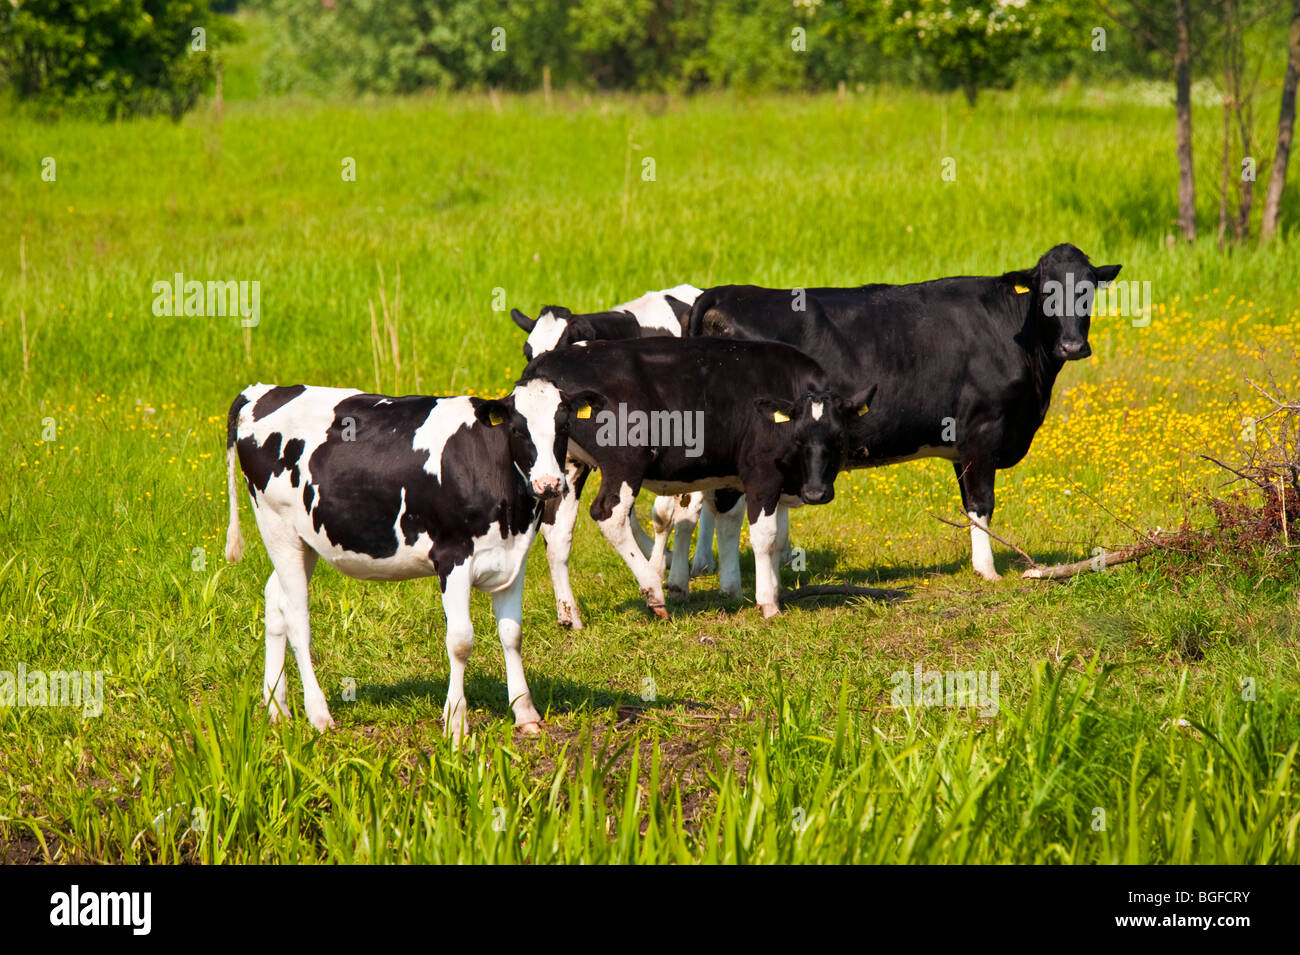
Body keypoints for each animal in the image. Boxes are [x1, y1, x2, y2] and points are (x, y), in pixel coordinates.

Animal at [223, 379, 603, 743]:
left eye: (563, 425)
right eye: (518, 430)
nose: (549, 484)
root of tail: (262, 391)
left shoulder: (513, 558)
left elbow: (512, 634)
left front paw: (525, 714)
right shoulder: (452, 557)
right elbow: (461, 641)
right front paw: (456, 723)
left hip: (305, 541)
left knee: (275, 599)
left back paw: (277, 707)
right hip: (277, 527)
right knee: (297, 618)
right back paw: (318, 714)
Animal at [517, 337, 874, 619]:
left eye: (838, 438)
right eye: (799, 438)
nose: (816, 493)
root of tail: (550, 360)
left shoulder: (741, 479)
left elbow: (746, 528)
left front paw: (753, 589)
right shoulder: (762, 474)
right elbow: (765, 536)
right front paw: (768, 602)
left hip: (566, 465)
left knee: (557, 530)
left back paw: (569, 616)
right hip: (624, 461)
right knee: (609, 515)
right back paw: (653, 591)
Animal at [685, 243, 1121, 581]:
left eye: (1088, 290)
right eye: (1045, 291)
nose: (1072, 345)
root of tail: (723, 292)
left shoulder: (962, 444)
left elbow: (968, 502)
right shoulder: (982, 430)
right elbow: (982, 502)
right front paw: (988, 570)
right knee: (726, 509)